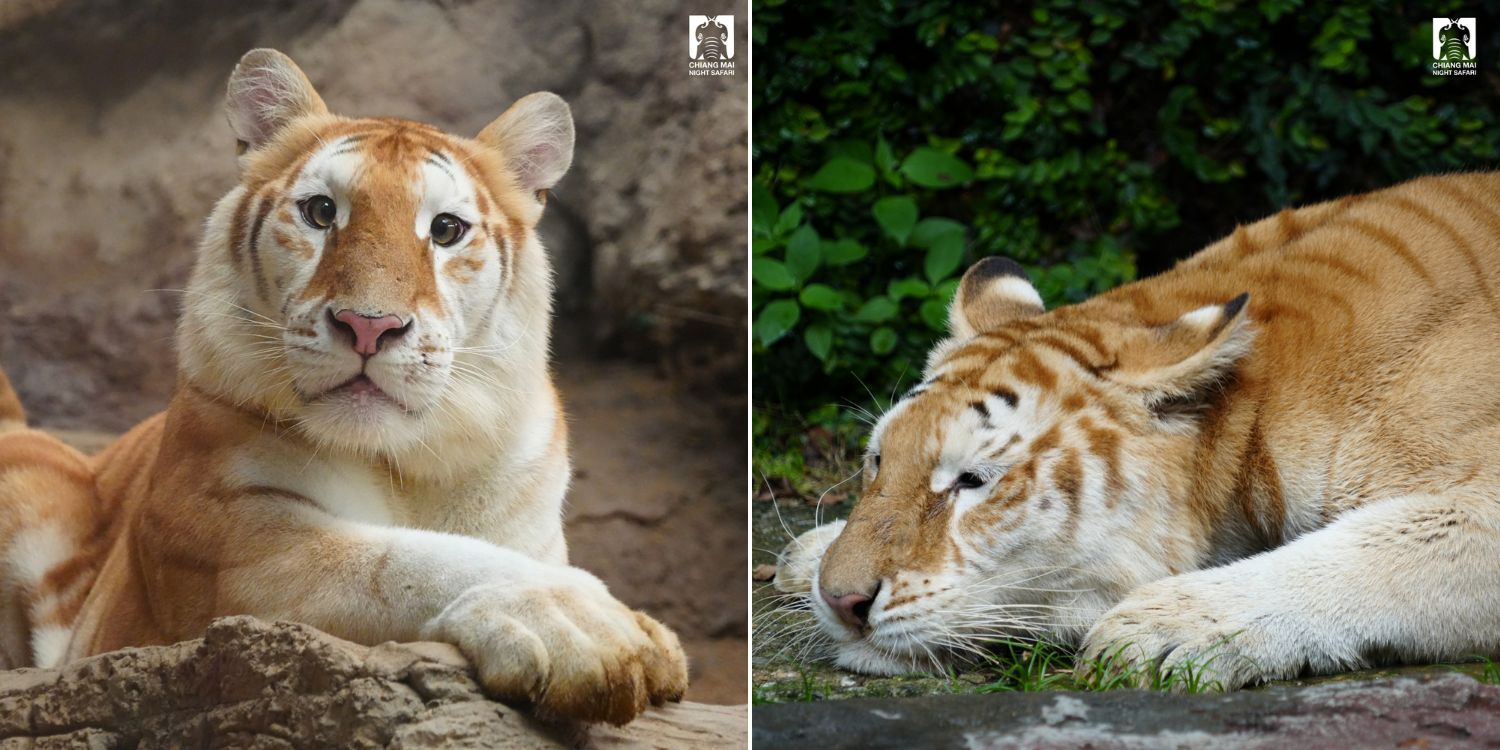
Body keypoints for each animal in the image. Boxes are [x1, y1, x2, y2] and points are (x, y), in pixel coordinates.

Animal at [0, 48, 687, 725]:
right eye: (322, 212)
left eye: (445, 229)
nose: (369, 326)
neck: (410, 464)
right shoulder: (233, 545)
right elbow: (406, 560)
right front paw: (588, 627)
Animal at [773, 171, 1500, 687]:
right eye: (877, 462)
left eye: (973, 482)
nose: (839, 600)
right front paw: (807, 553)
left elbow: (1362, 550)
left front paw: (1161, 630)